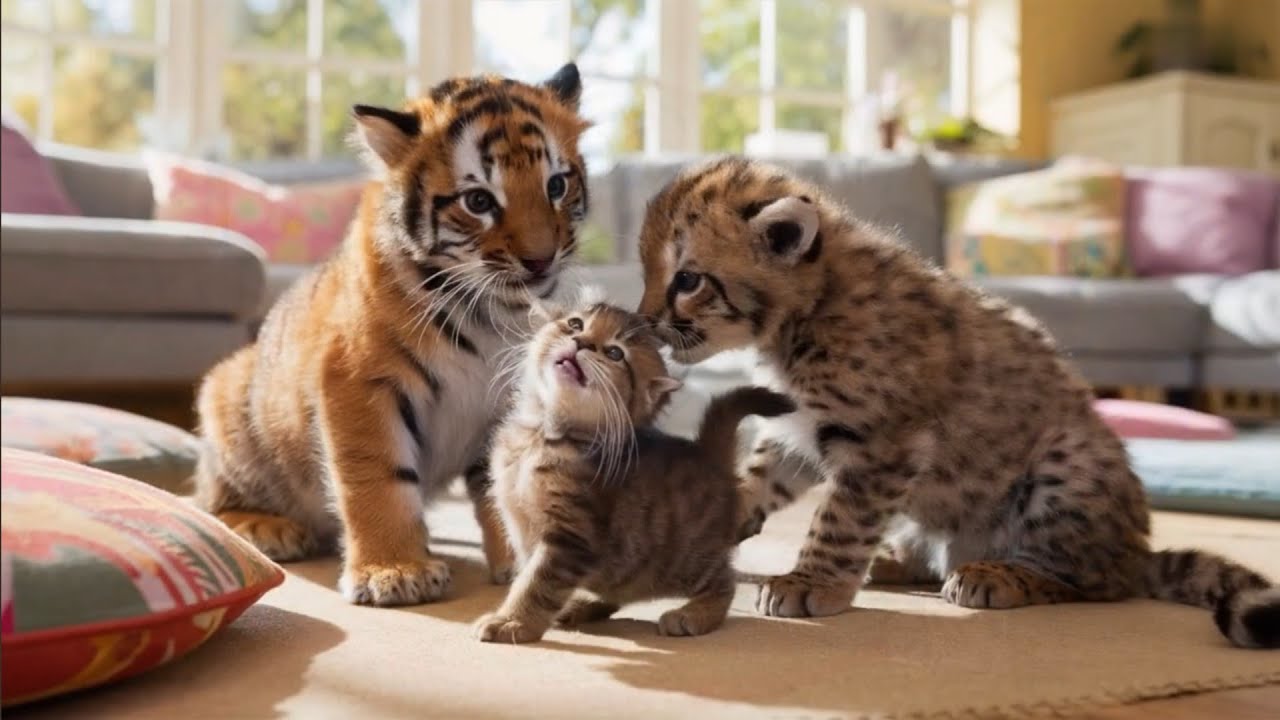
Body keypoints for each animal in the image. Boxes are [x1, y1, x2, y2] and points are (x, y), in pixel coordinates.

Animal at [192, 64, 592, 607]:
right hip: (229, 404)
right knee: (207, 500)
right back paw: (268, 530)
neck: (490, 312)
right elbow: (377, 480)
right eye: (479, 201)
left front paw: (526, 560)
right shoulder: (359, 380)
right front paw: (395, 573)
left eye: (556, 185)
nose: (540, 260)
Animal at [634, 156, 1279, 649]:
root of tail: (1136, 546)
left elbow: (839, 519)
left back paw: (998, 575)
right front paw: (736, 510)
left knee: (1100, 581)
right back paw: (899, 559)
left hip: (1069, 461)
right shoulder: (801, 430)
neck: (799, 319)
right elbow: (762, 476)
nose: (646, 322)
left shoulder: (882, 442)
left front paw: (812, 582)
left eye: (688, 280)